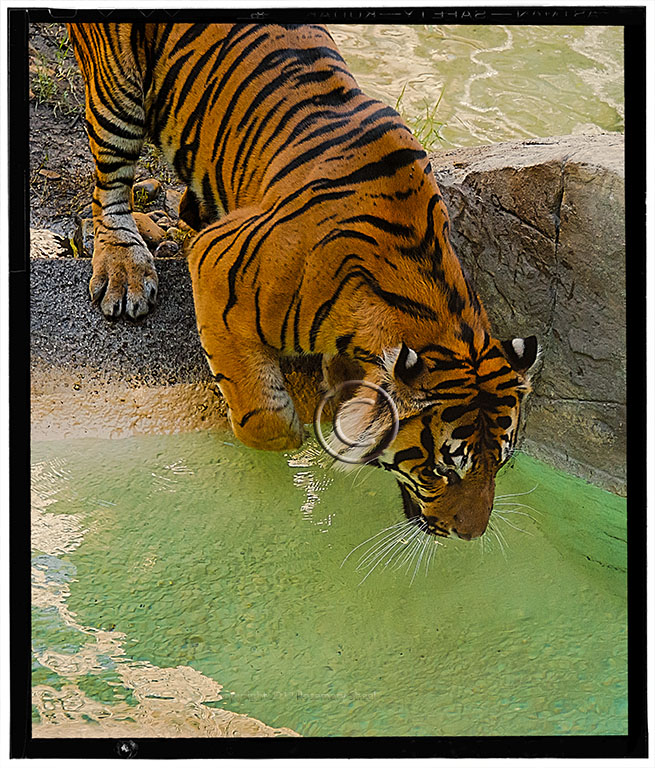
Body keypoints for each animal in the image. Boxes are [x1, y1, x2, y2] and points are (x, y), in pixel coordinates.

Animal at [67, 22, 538, 541]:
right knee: (109, 186)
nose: (471, 534)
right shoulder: (216, 263)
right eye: (442, 470)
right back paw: (124, 271)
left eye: (501, 463)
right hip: (116, 90)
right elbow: (267, 421)